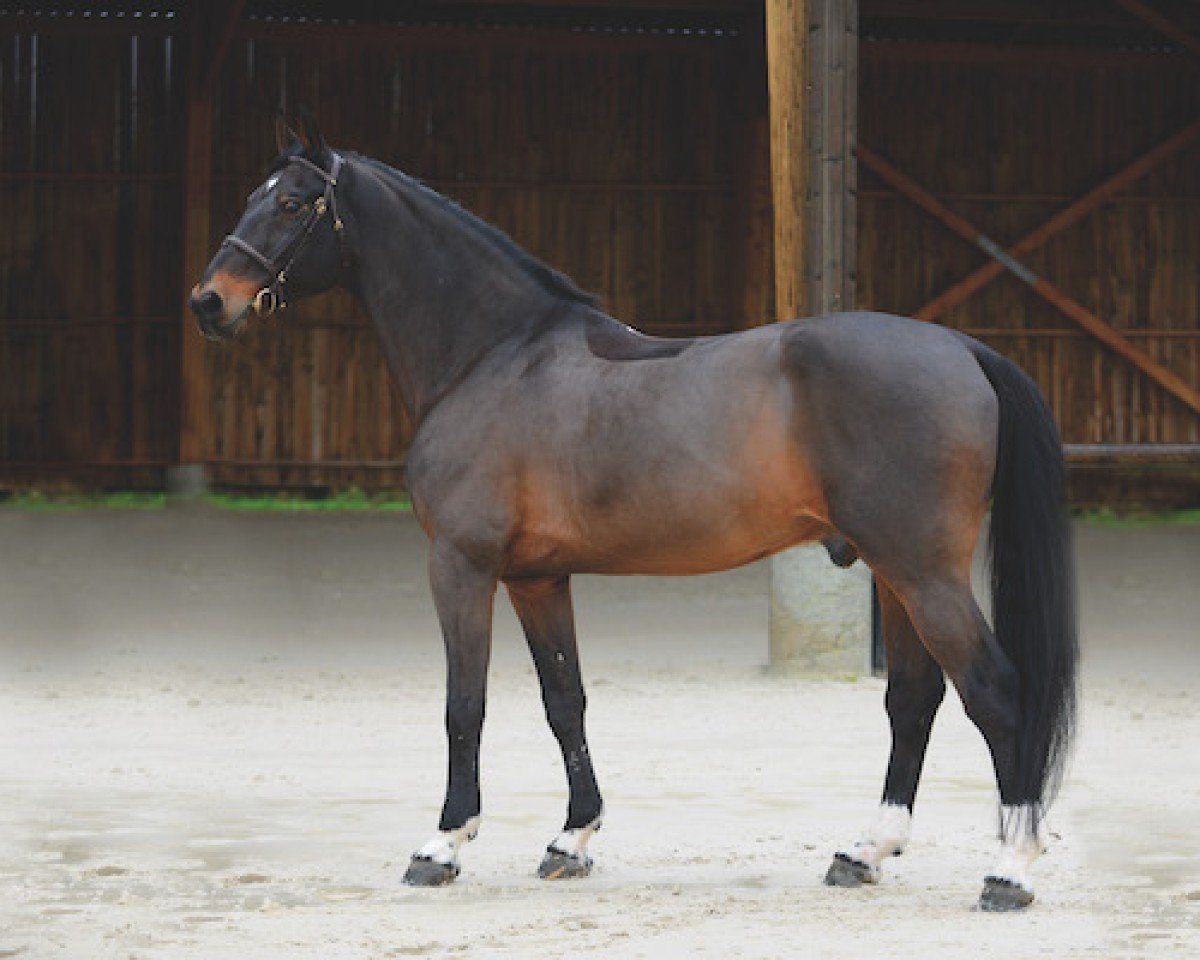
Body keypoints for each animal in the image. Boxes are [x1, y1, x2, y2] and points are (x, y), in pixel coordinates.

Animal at [190, 110, 1077, 912]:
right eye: (255, 195)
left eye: (294, 203)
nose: (209, 301)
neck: (494, 355)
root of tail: (964, 349)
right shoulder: (537, 579)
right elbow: (565, 701)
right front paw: (570, 839)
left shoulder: (462, 566)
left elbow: (463, 705)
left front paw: (441, 845)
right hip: (894, 572)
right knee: (914, 699)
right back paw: (865, 852)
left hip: (923, 571)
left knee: (994, 692)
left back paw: (1009, 871)